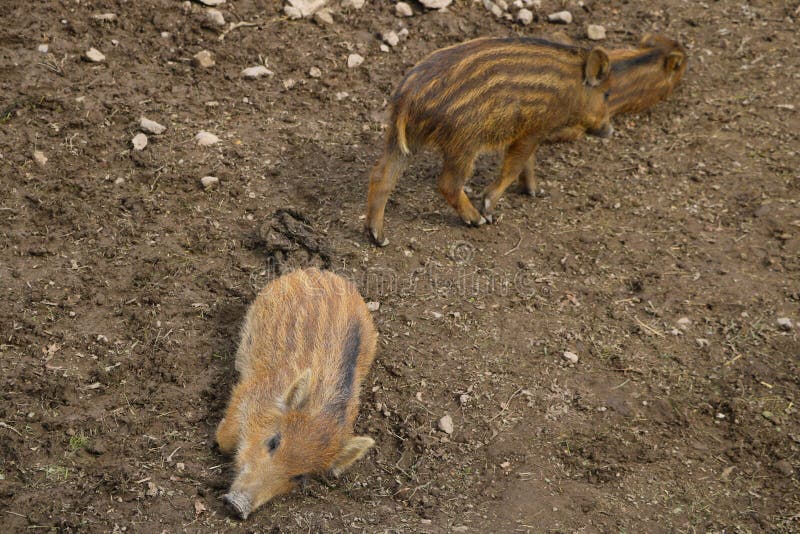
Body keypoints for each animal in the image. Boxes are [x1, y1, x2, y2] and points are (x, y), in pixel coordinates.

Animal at [215, 268, 378, 519]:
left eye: (299, 476)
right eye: (273, 442)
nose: (238, 505)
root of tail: (325, 274)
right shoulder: (246, 391)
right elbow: (225, 438)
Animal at [365, 36, 614, 246]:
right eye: (606, 94)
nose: (610, 130)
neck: (573, 86)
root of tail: (407, 98)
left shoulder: (528, 130)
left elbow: (527, 162)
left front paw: (535, 192)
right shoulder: (534, 130)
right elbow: (514, 166)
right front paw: (489, 209)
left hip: (403, 140)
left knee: (381, 175)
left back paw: (379, 237)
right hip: (463, 143)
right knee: (448, 184)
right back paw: (476, 220)